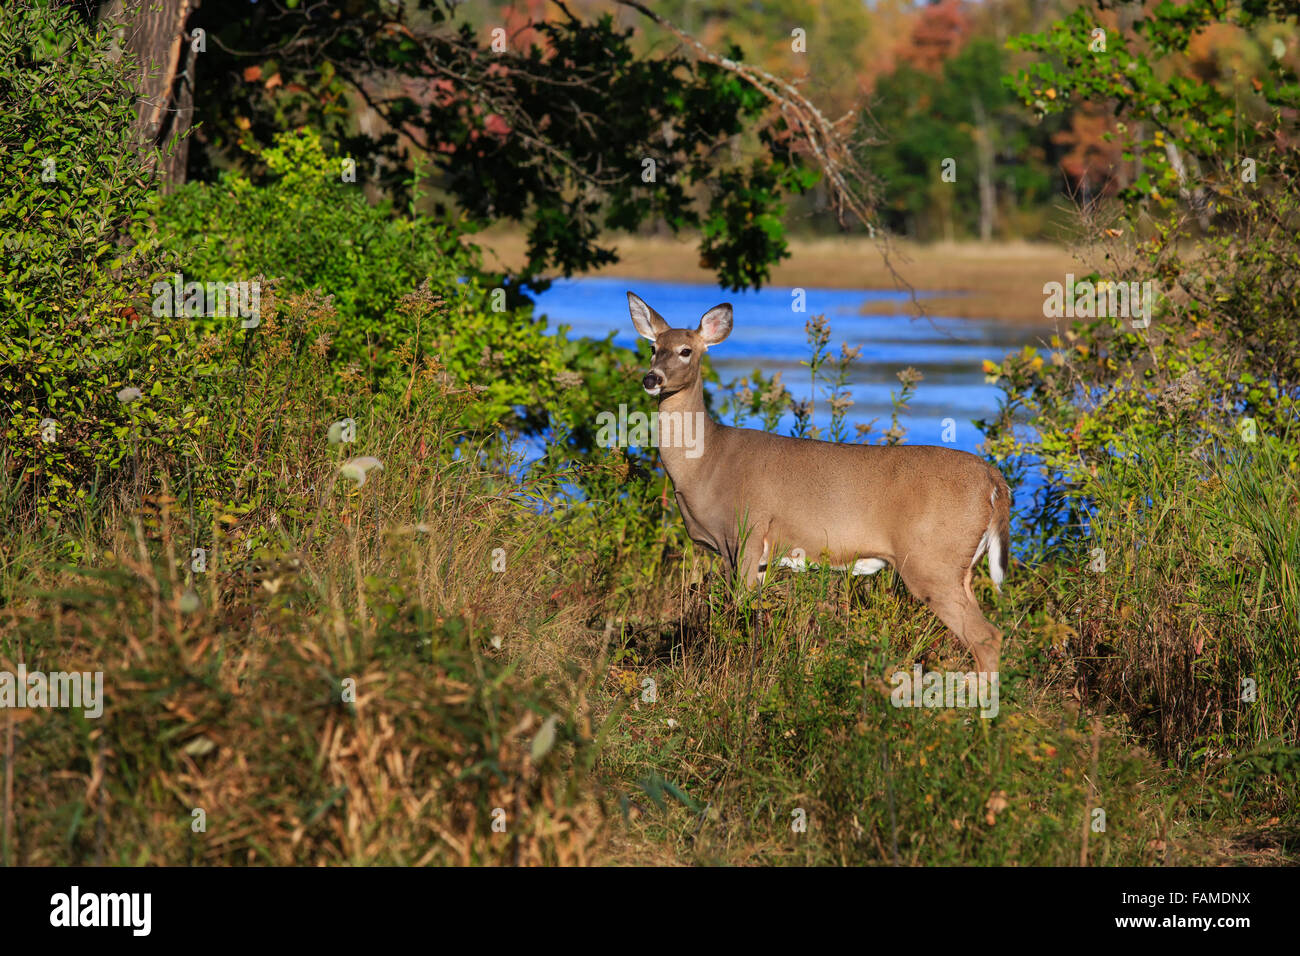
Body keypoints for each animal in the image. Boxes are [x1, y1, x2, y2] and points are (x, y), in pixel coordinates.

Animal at [627, 291, 1011, 675]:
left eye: (686, 350)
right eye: (653, 347)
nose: (651, 378)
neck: (707, 462)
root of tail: (995, 481)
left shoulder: (746, 534)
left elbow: (741, 614)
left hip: (932, 559)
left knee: (987, 637)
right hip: (959, 565)